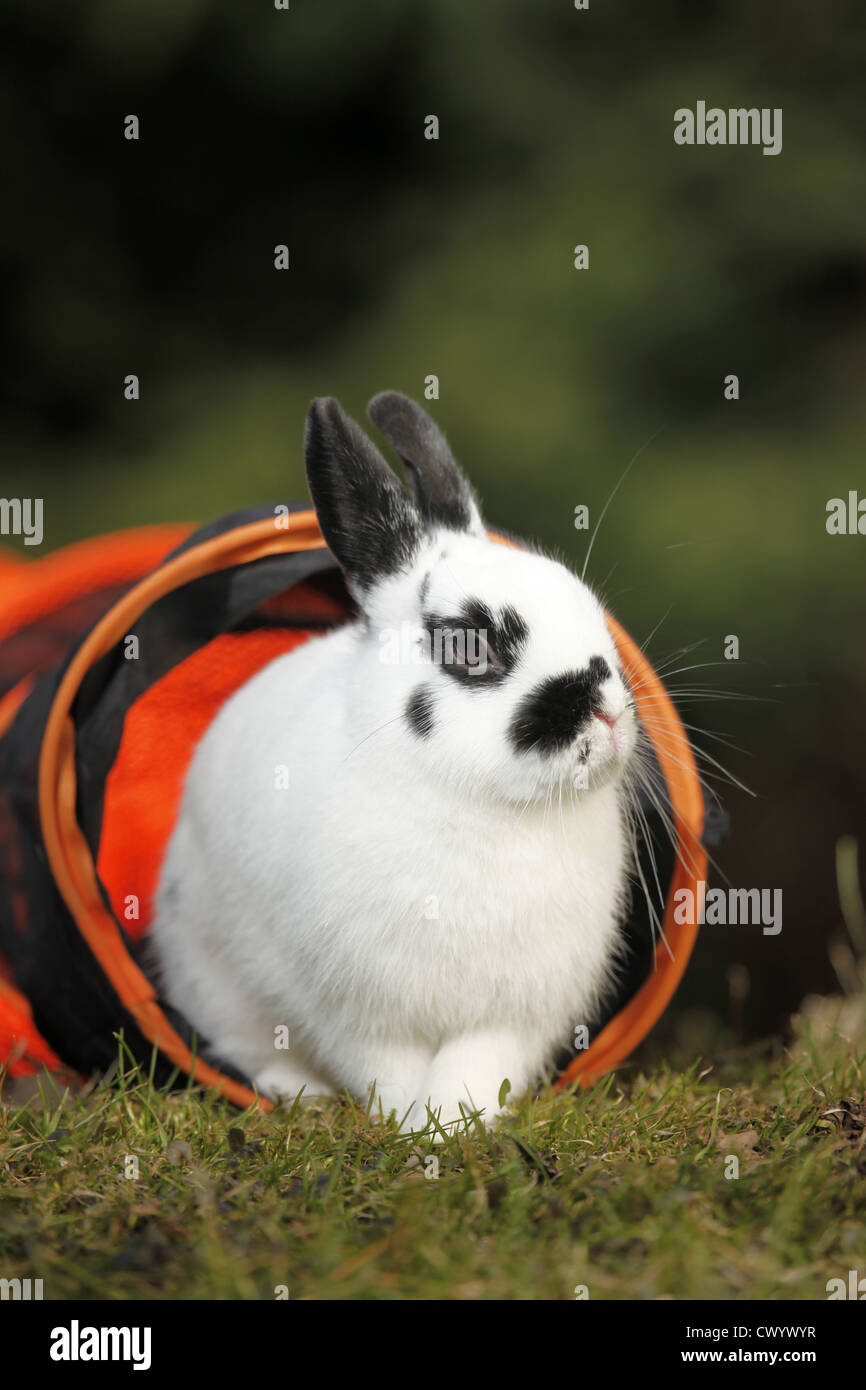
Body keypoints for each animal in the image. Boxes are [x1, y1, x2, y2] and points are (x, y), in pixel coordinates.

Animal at [150, 391, 639, 1132]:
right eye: (471, 648)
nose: (607, 710)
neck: (483, 806)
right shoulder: (357, 1013)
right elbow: (388, 1068)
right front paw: (413, 1127)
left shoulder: (512, 1013)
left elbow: (479, 1065)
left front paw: (457, 1125)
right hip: (210, 972)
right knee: (247, 1043)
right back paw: (300, 1093)